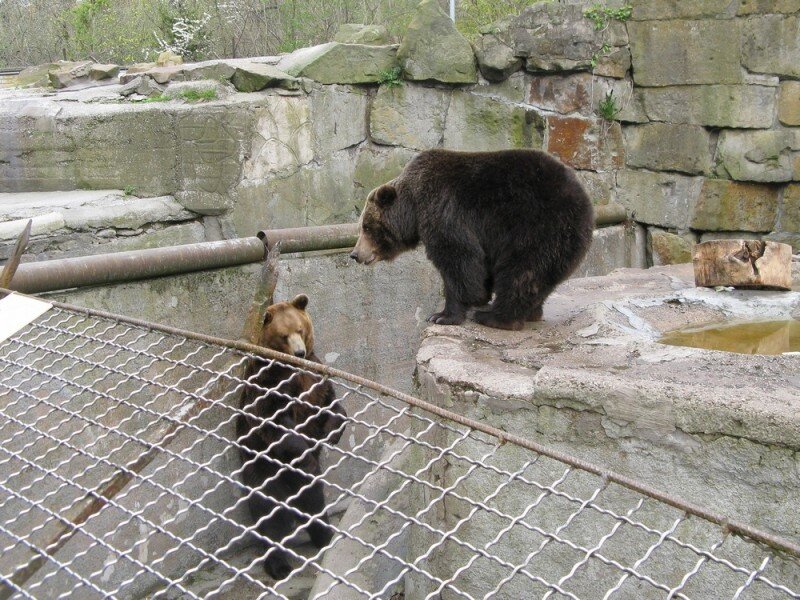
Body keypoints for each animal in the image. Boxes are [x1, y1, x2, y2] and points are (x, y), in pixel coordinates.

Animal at [238, 296, 350, 580]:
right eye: (283, 335)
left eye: (300, 329)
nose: (299, 352)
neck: (293, 367)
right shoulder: (268, 382)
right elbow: (274, 422)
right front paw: (305, 449)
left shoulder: (316, 377)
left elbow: (333, 406)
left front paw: (332, 433)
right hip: (262, 473)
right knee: (270, 518)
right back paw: (278, 565)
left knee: (315, 504)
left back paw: (325, 535)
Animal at [350, 149, 592, 328]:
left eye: (366, 226)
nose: (355, 254)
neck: (414, 207)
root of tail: (586, 202)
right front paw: (477, 299)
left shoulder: (443, 209)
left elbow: (459, 259)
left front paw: (442, 315)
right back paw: (531, 312)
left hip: (538, 227)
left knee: (521, 272)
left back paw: (494, 317)